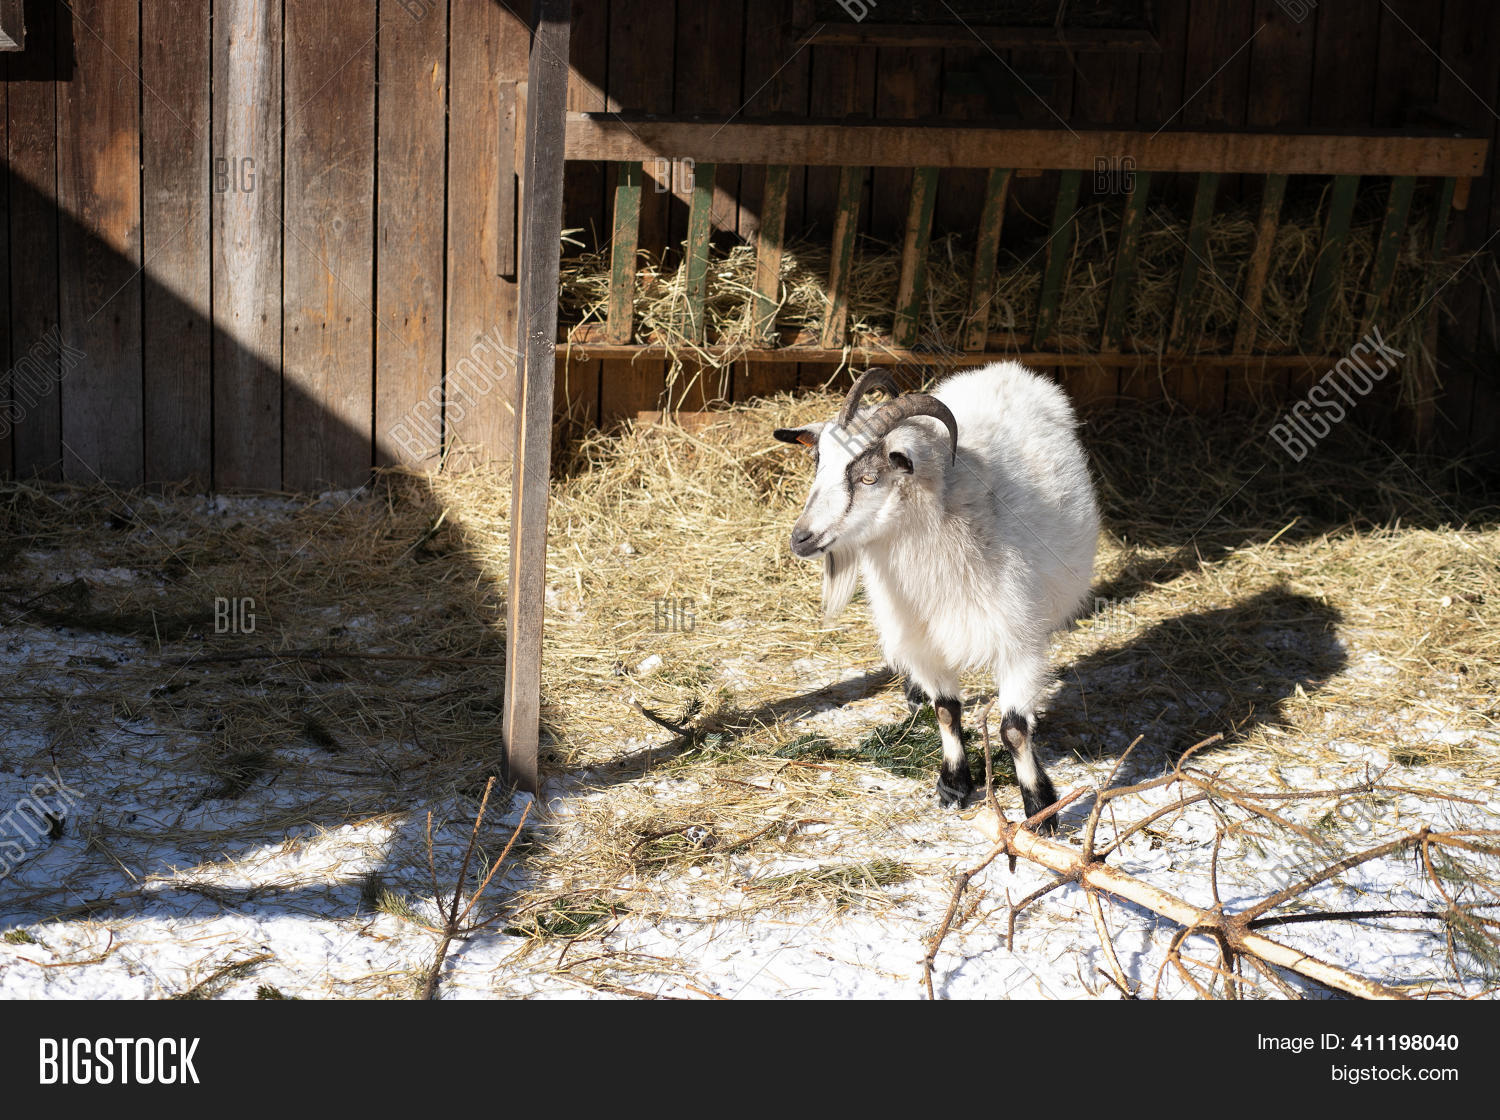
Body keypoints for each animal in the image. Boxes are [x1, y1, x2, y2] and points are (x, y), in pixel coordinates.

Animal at [773, 362, 1099, 829]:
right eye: (818, 466)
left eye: (869, 476)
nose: (801, 538)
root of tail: (1003, 370)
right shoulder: (924, 641)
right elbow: (946, 710)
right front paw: (954, 785)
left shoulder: (1017, 640)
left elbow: (1013, 728)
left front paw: (1040, 808)